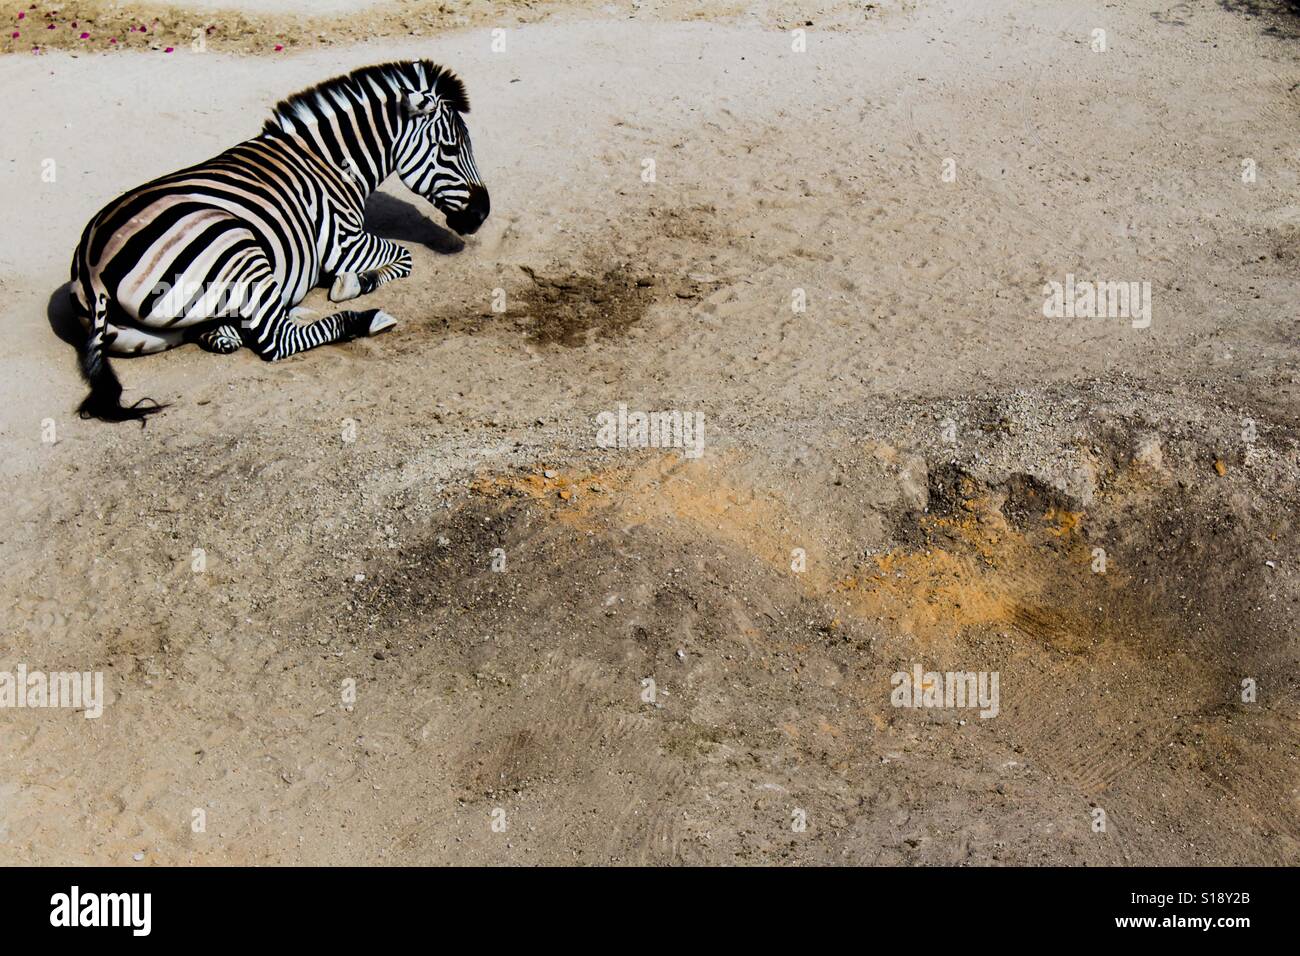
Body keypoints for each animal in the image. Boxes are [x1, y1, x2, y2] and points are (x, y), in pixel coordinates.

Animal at [70, 60, 490, 421]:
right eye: (450, 149)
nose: (483, 213)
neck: (328, 161)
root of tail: (93, 262)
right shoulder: (345, 241)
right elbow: (403, 256)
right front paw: (352, 284)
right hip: (237, 244)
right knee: (277, 340)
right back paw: (365, 319)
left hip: (149, 335)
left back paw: (231, 328)